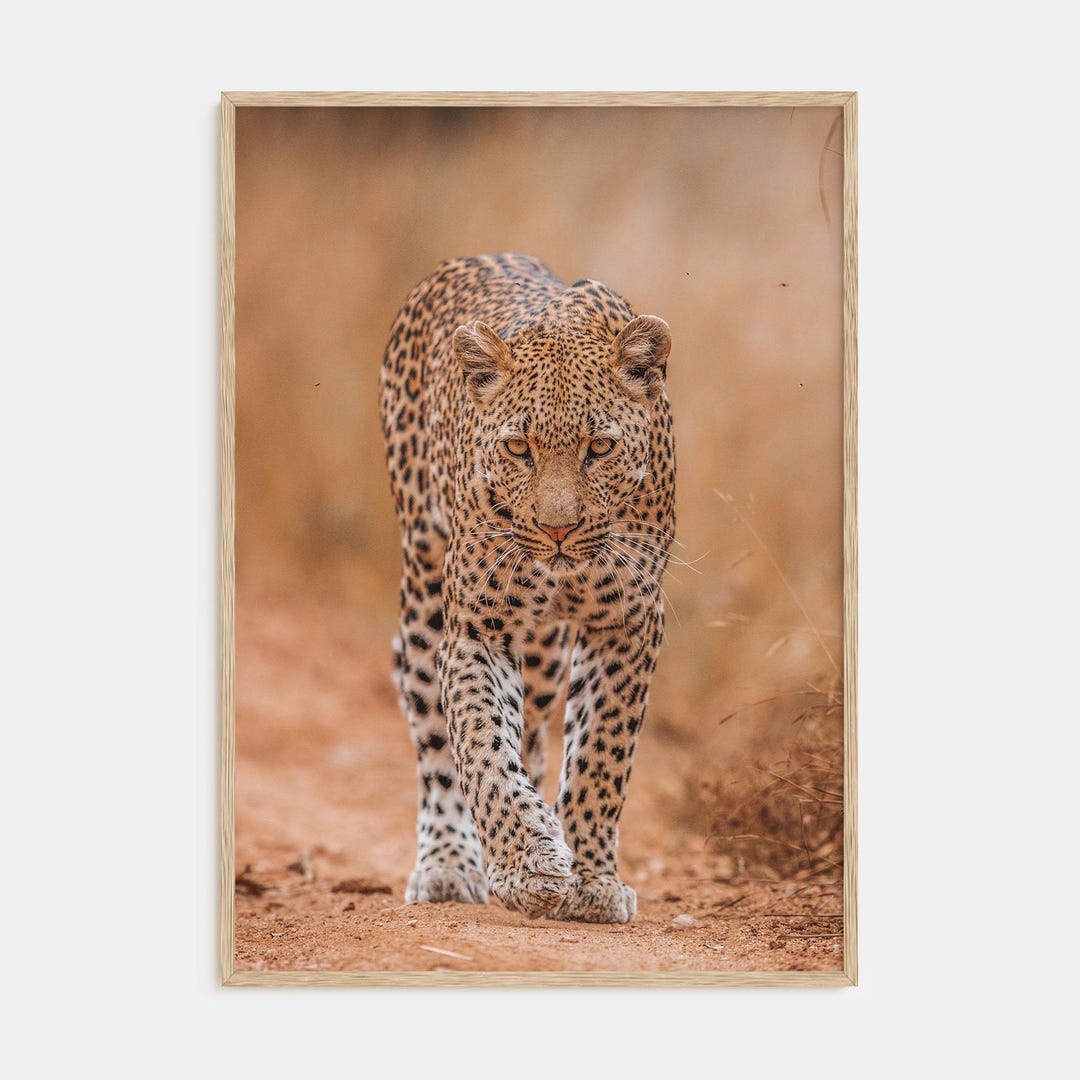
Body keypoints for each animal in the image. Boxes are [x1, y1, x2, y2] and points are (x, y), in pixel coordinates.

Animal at [379, 253, 675, 924]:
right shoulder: (477, 627)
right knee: (435, 737)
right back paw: (449, 865)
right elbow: (482, 746)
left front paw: (590, 880)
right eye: (517, 447)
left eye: (600, 447)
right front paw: (527, 865)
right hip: (424, 592)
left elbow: (599, 755)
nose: (556, 529)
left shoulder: (628, 622)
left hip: (543, 654)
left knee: (537, 732)